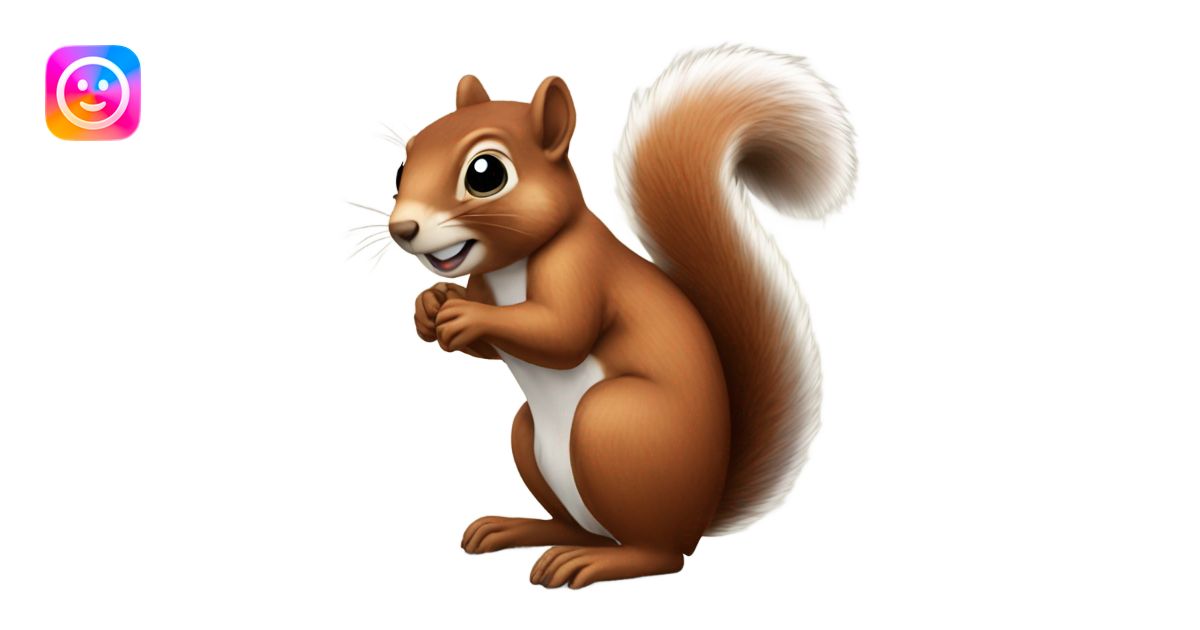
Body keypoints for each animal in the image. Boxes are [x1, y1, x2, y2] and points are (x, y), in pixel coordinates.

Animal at [385, 45, 856, 588]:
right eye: (400, 169)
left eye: (486, 174)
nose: (402, 228)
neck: (510, 269)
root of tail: (698, 520)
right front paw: (430, 306)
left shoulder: (579, 268)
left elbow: (561, 334)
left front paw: (463, 315)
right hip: (531, 438)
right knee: (576, 526)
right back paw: (519, 529)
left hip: (613, 427)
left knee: (660, 555)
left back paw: (596, 561)